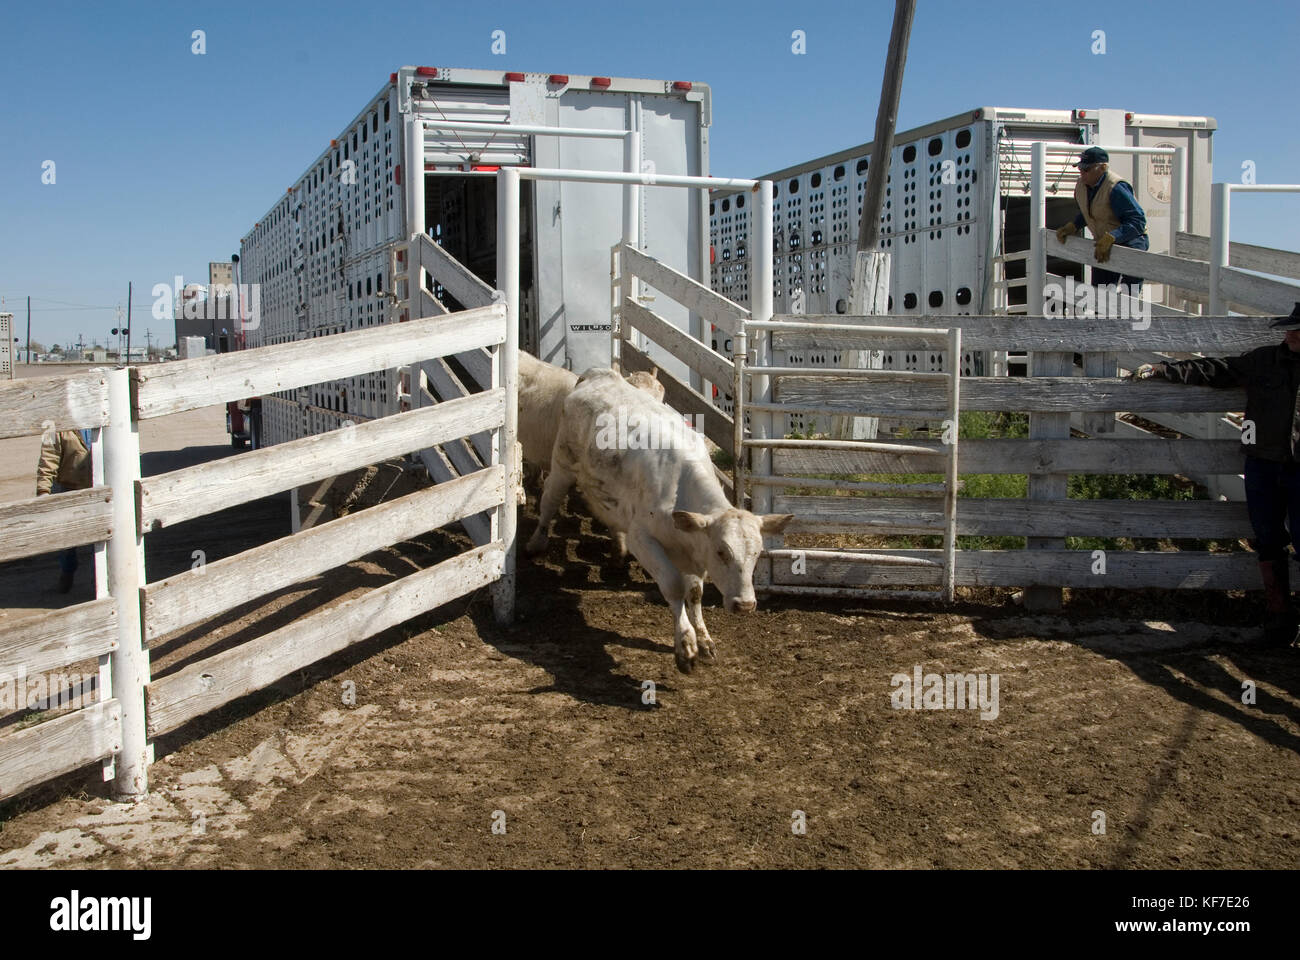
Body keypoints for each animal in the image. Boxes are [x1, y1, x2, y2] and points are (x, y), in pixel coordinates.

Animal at [526, 367, 792, 673]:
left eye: (757, 554)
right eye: (721, 552)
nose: (745, 605)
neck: (679, 485)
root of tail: (598, 375)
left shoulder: (692, 545)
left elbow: (694, 593)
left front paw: (705, 640)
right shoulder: (643, 540)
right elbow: (674, 587)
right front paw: (686, 646)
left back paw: (617, 552)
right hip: (562, 464)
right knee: (549, 502)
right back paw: (536, 543)